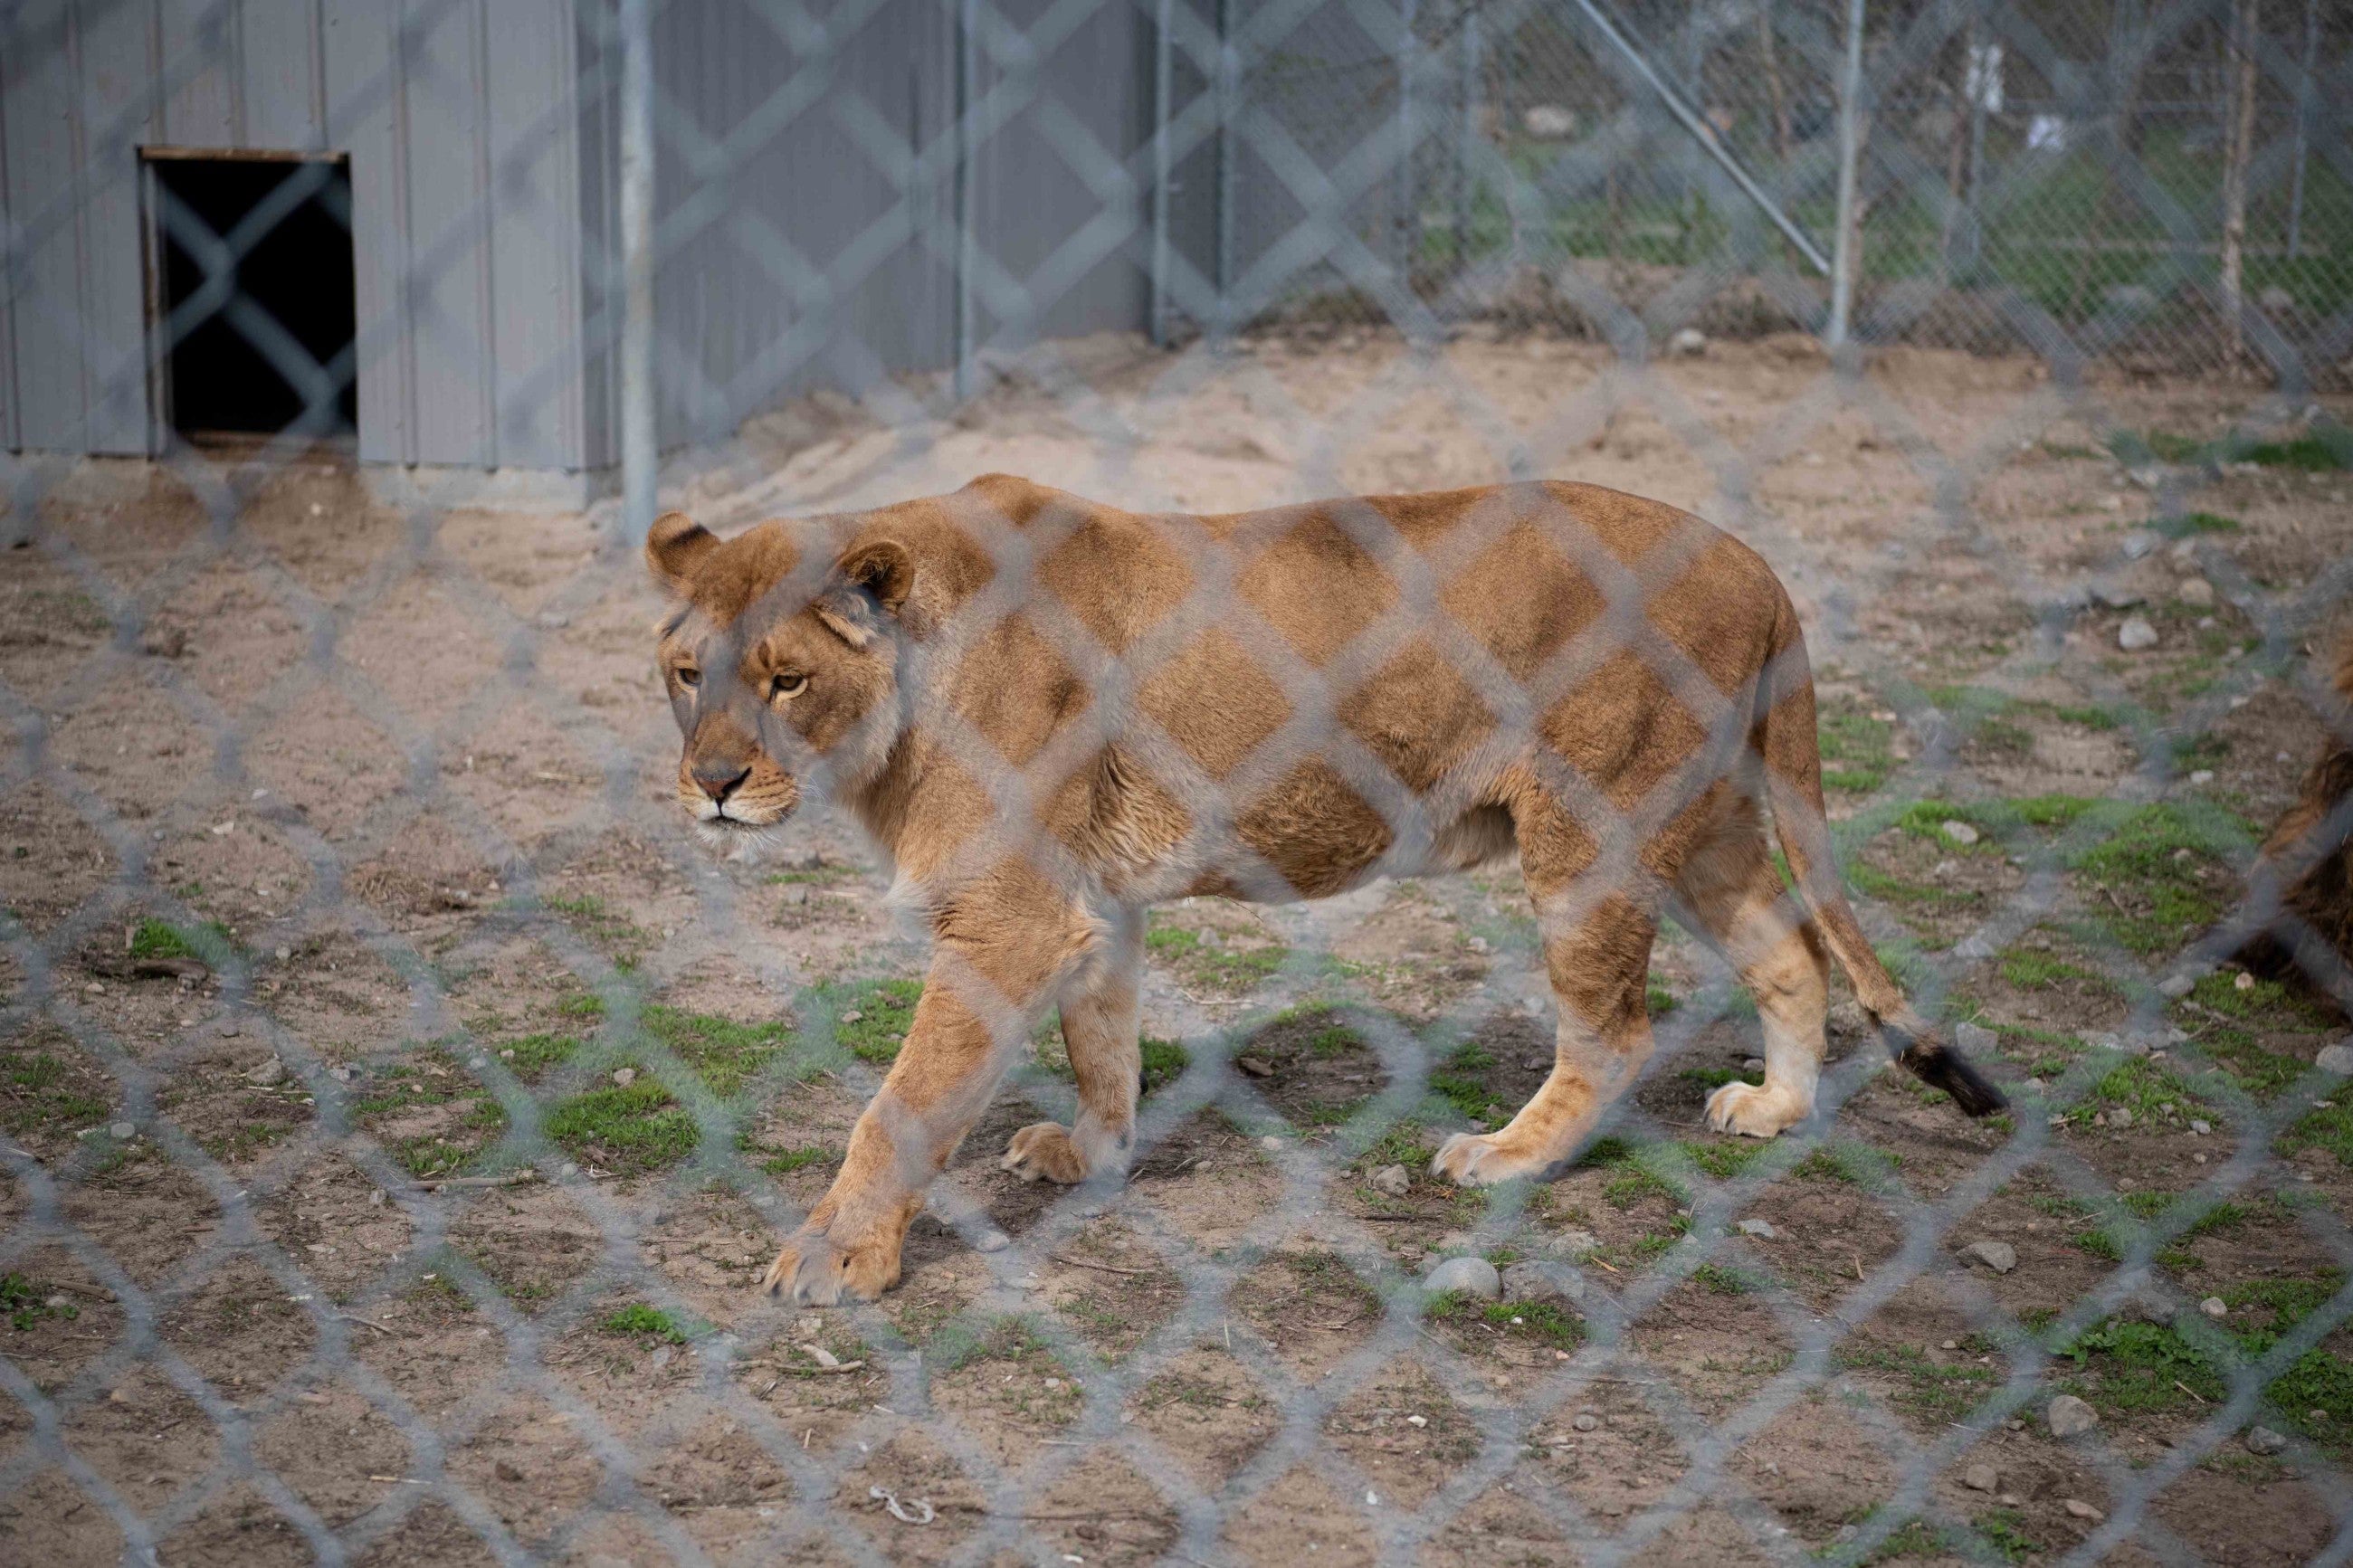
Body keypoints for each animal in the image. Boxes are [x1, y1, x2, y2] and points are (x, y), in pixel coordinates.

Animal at [646, 474, 2004, 1305]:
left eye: (783, 679)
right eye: (685, 672)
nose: (710, 784)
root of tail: (1756, 561)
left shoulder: (1006, 914)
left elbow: (904, 1105)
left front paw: (835, 1257)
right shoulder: (1090, 896)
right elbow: (1103, 1037)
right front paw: (1093, 1152)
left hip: (1594, 833)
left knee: (1615, 1028)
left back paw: (1505, 1155)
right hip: (1703, 819)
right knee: (1790, 948)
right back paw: (1772, 1109)